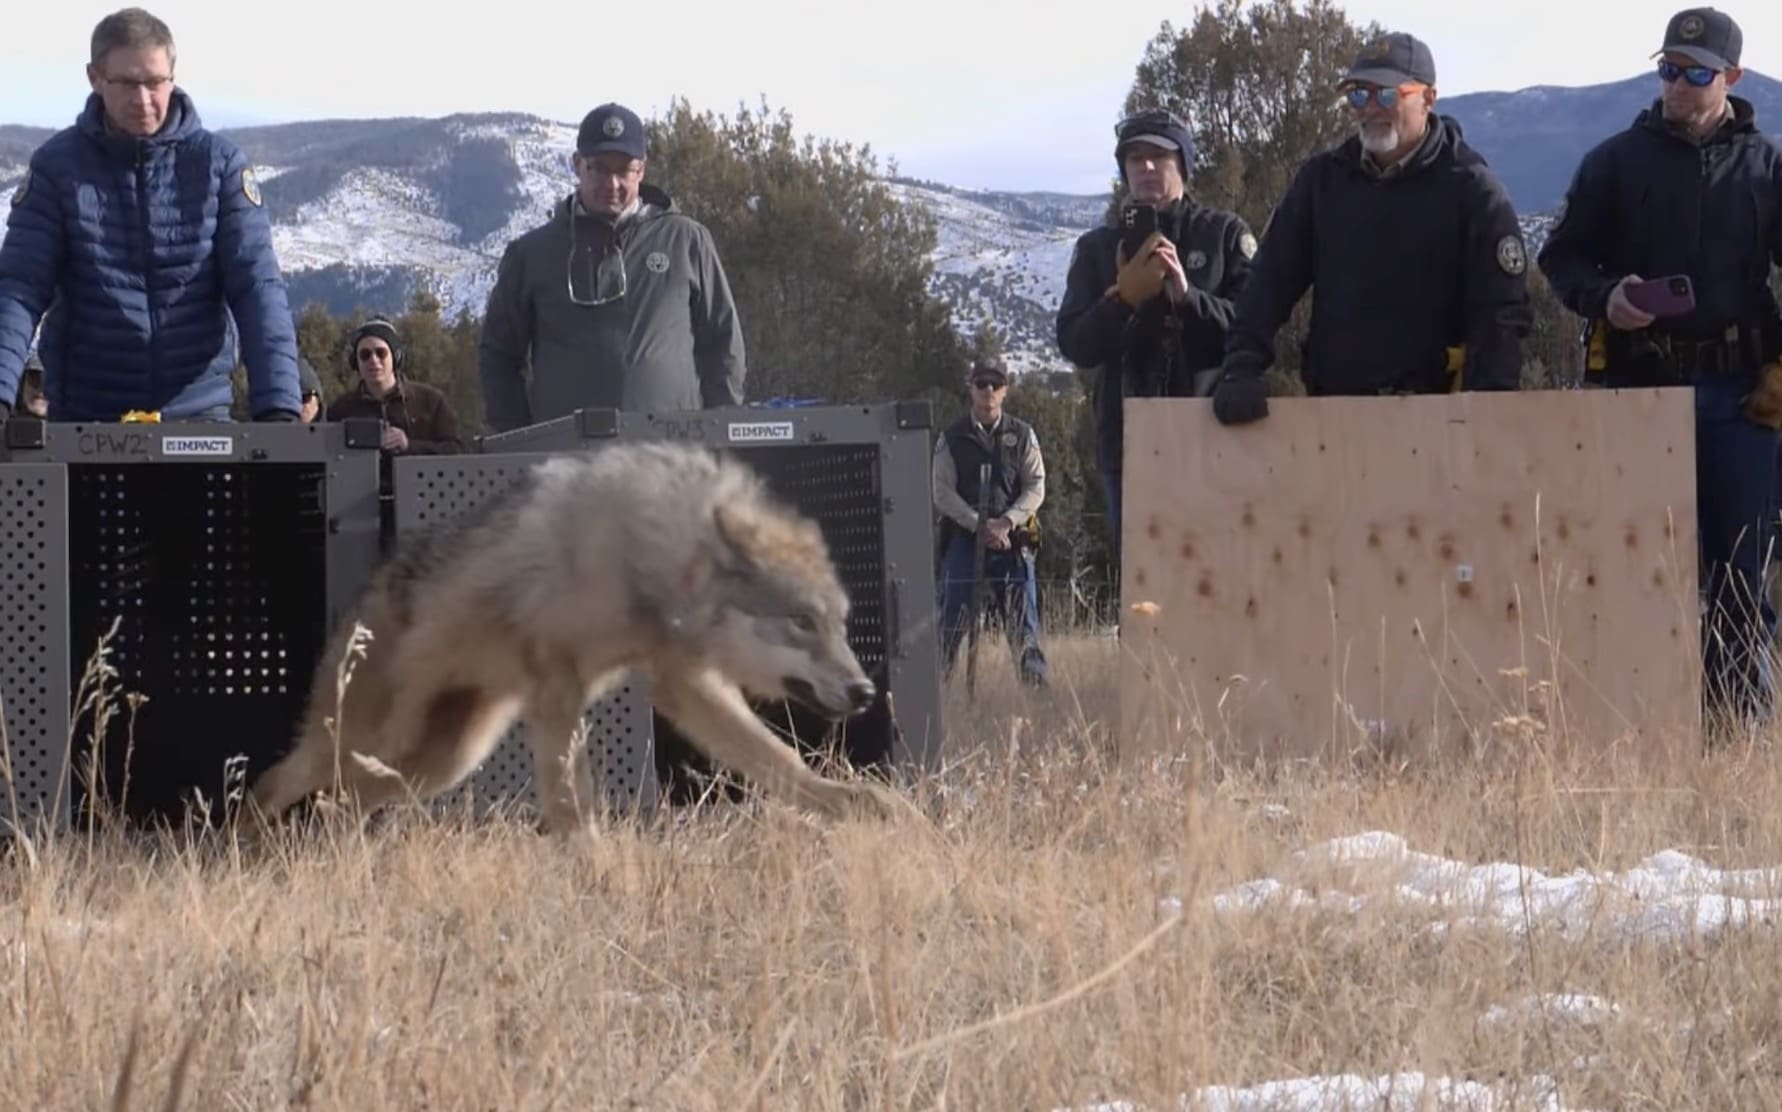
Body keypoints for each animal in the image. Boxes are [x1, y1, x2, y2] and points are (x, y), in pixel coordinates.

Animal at [245, 440, 903, 834]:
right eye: (802, 622)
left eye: (841, 624)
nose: (865, 691)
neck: (644, 551)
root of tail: (366, 593)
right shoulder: (557, 685)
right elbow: (570, 798)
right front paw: (598, 864)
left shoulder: (683, 683)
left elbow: (781, 761)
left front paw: (851, 801)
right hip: (368, 740)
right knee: (279, 781)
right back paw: (245, 848)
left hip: (439, 763)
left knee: (341, 799)